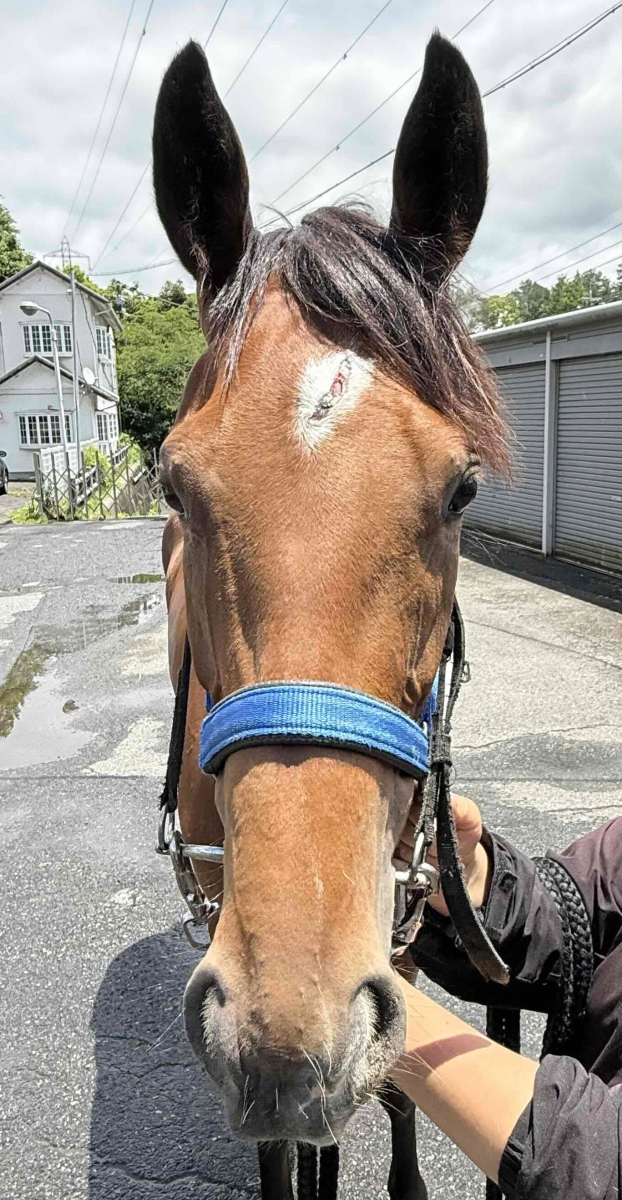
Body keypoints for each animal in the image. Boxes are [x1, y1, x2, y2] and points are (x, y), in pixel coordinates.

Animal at [155, 28, 509, 1187]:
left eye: (462, 491)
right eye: (174, 484)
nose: (288, 1030)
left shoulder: (400, 917)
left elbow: (395, 1090)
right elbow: (281, 1157)